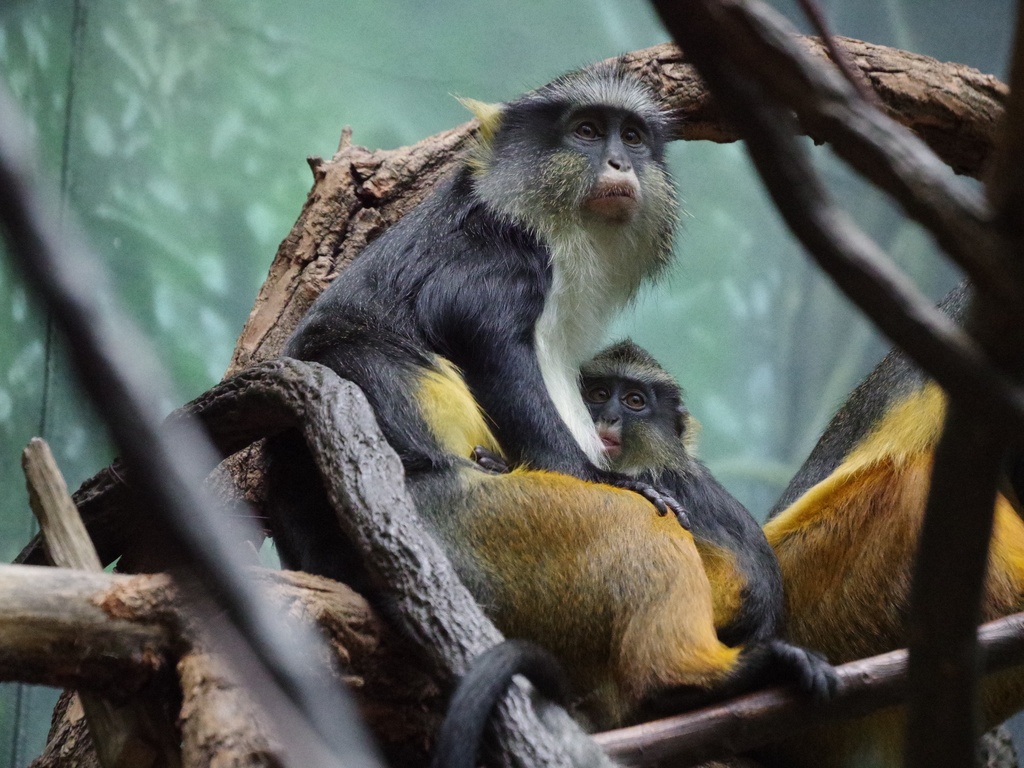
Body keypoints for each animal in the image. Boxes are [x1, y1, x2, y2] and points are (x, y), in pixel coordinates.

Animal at [267, 61, 832, 736]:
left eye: (632, 137)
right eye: (586, 131)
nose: (618, 163)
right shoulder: (496, 267)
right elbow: (496, 354)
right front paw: (606, 478)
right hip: (468, 526)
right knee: (632, 525)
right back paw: (690, 677)